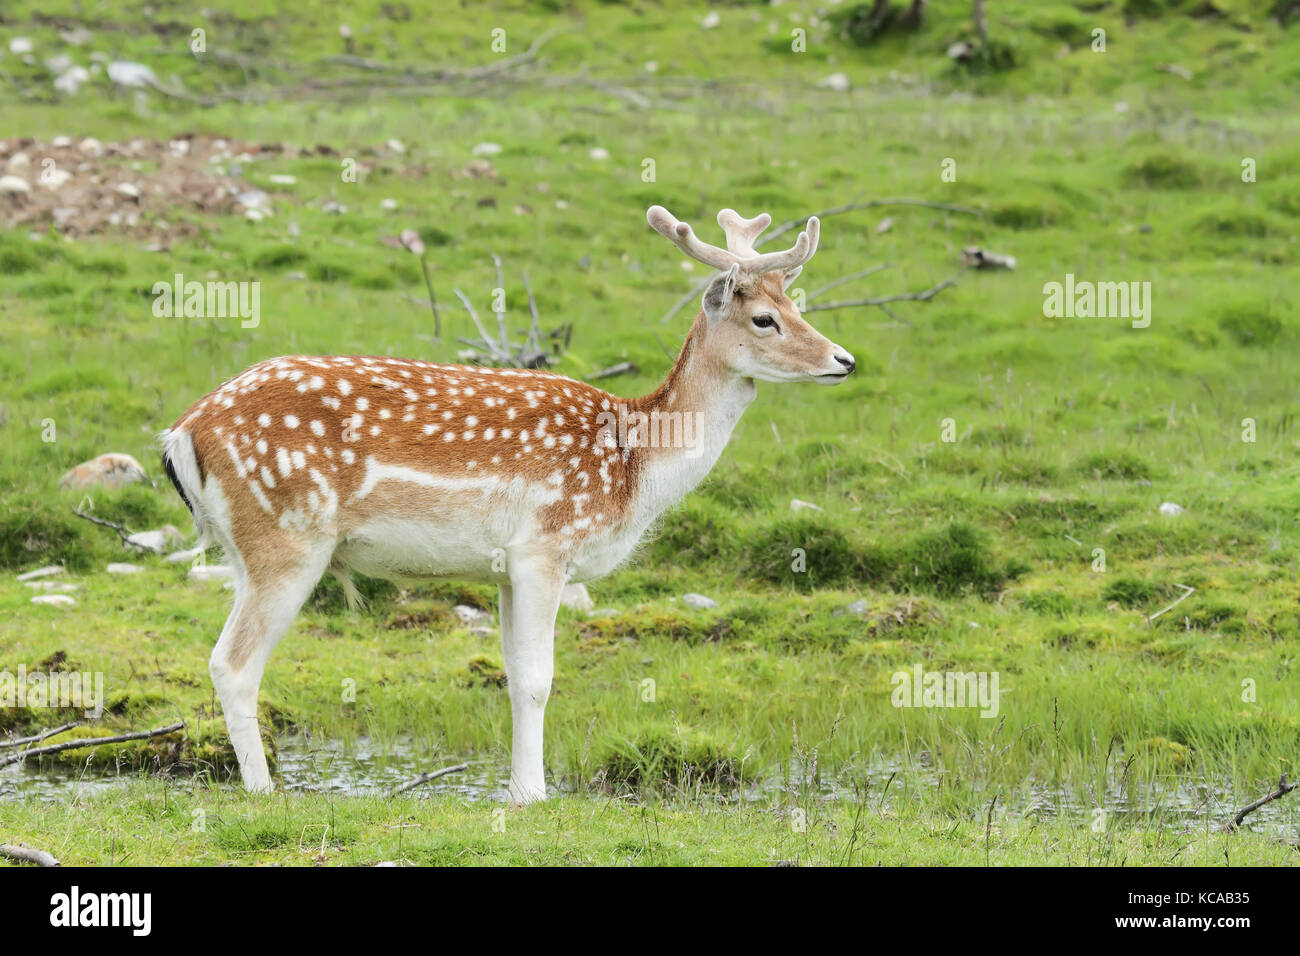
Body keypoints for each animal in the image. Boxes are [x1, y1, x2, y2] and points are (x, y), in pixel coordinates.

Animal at [160, 204, 856, 803]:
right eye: (764, 319)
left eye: (796, 303)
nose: (844, 359)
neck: (633, 469)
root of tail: (181, 434)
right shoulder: (546, 545)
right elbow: (540, 681)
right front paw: (533, 795)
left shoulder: (501, 569)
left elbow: (515, 679)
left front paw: (520, 790)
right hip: (286, 537)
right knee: (232, 664)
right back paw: (263, 792)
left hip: (245, 549)